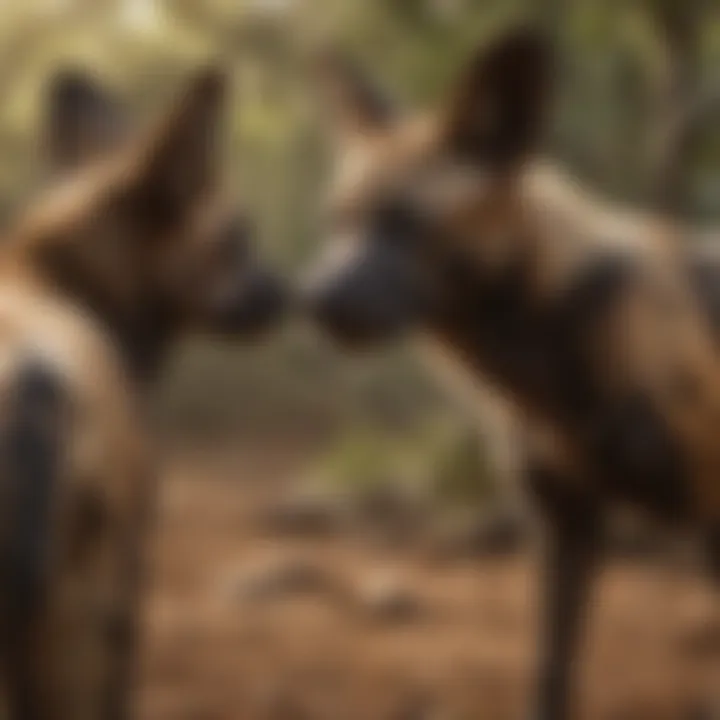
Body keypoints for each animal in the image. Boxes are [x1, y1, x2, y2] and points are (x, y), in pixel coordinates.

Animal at [306, 28, 720, 720]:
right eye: (339, 219)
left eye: (408, 223)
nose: (311, 297)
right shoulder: (566, 523)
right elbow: (552, 671)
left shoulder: (705, 514)